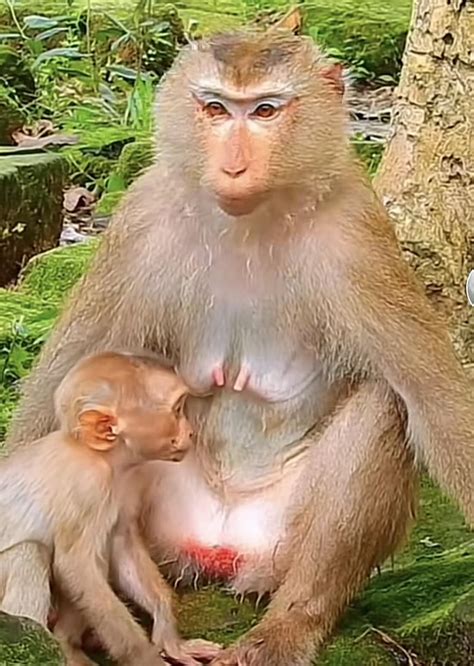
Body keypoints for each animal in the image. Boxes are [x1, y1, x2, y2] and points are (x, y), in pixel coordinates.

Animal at [0, 351, 219, 666]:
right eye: (178, 410)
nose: (190, 432)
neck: (103, 459)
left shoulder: (130, 482)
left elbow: (121, 544)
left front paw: (170, 637)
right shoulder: (88, 486)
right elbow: (76, 566)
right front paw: (145, 658)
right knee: (30, 552)